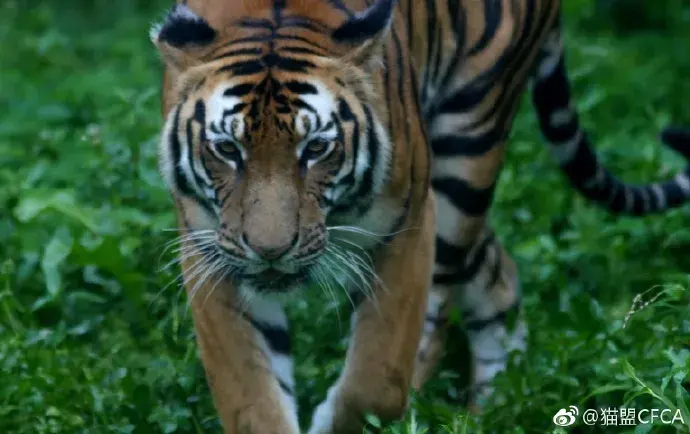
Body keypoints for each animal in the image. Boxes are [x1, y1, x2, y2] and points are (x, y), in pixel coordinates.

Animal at [150, 0, 690, 432]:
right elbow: (251, 397)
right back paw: (493, 405)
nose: (270, 250)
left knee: (438, 311)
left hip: (466, 153)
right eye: (227, 149)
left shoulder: (405, 228)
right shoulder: (210, 250)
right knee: (498, 274)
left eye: (316, 148)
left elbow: (377, 378)